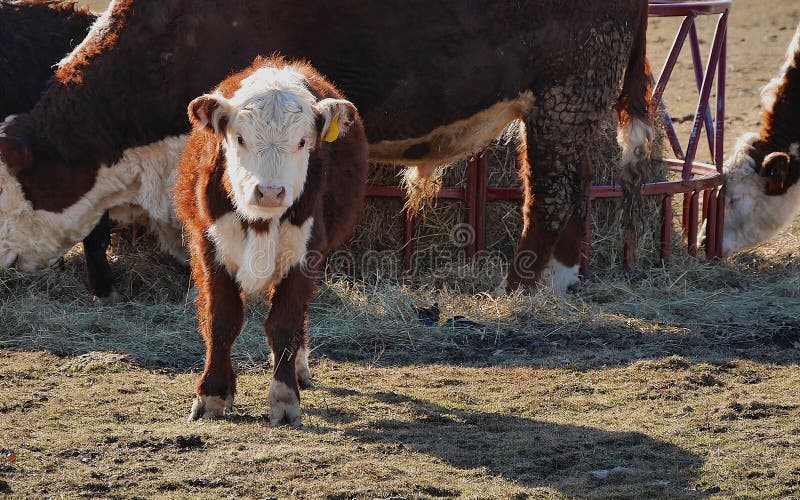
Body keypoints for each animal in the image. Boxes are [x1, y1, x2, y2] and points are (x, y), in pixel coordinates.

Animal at [0, 0, 652, 298]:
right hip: (570, 107)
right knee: (577, 187)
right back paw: (560, 283)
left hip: (564, 94)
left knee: (550, 194)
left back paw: (516, 290)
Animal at [174, 57, 368, 425]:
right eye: (239, 138)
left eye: (303, 142)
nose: (269, 191)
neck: (260, 222)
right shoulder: (210, 250)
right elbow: (221, 321)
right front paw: (213, 394)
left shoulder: (304, 256)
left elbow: (284, 325)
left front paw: (284, 397)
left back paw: (299, 370)